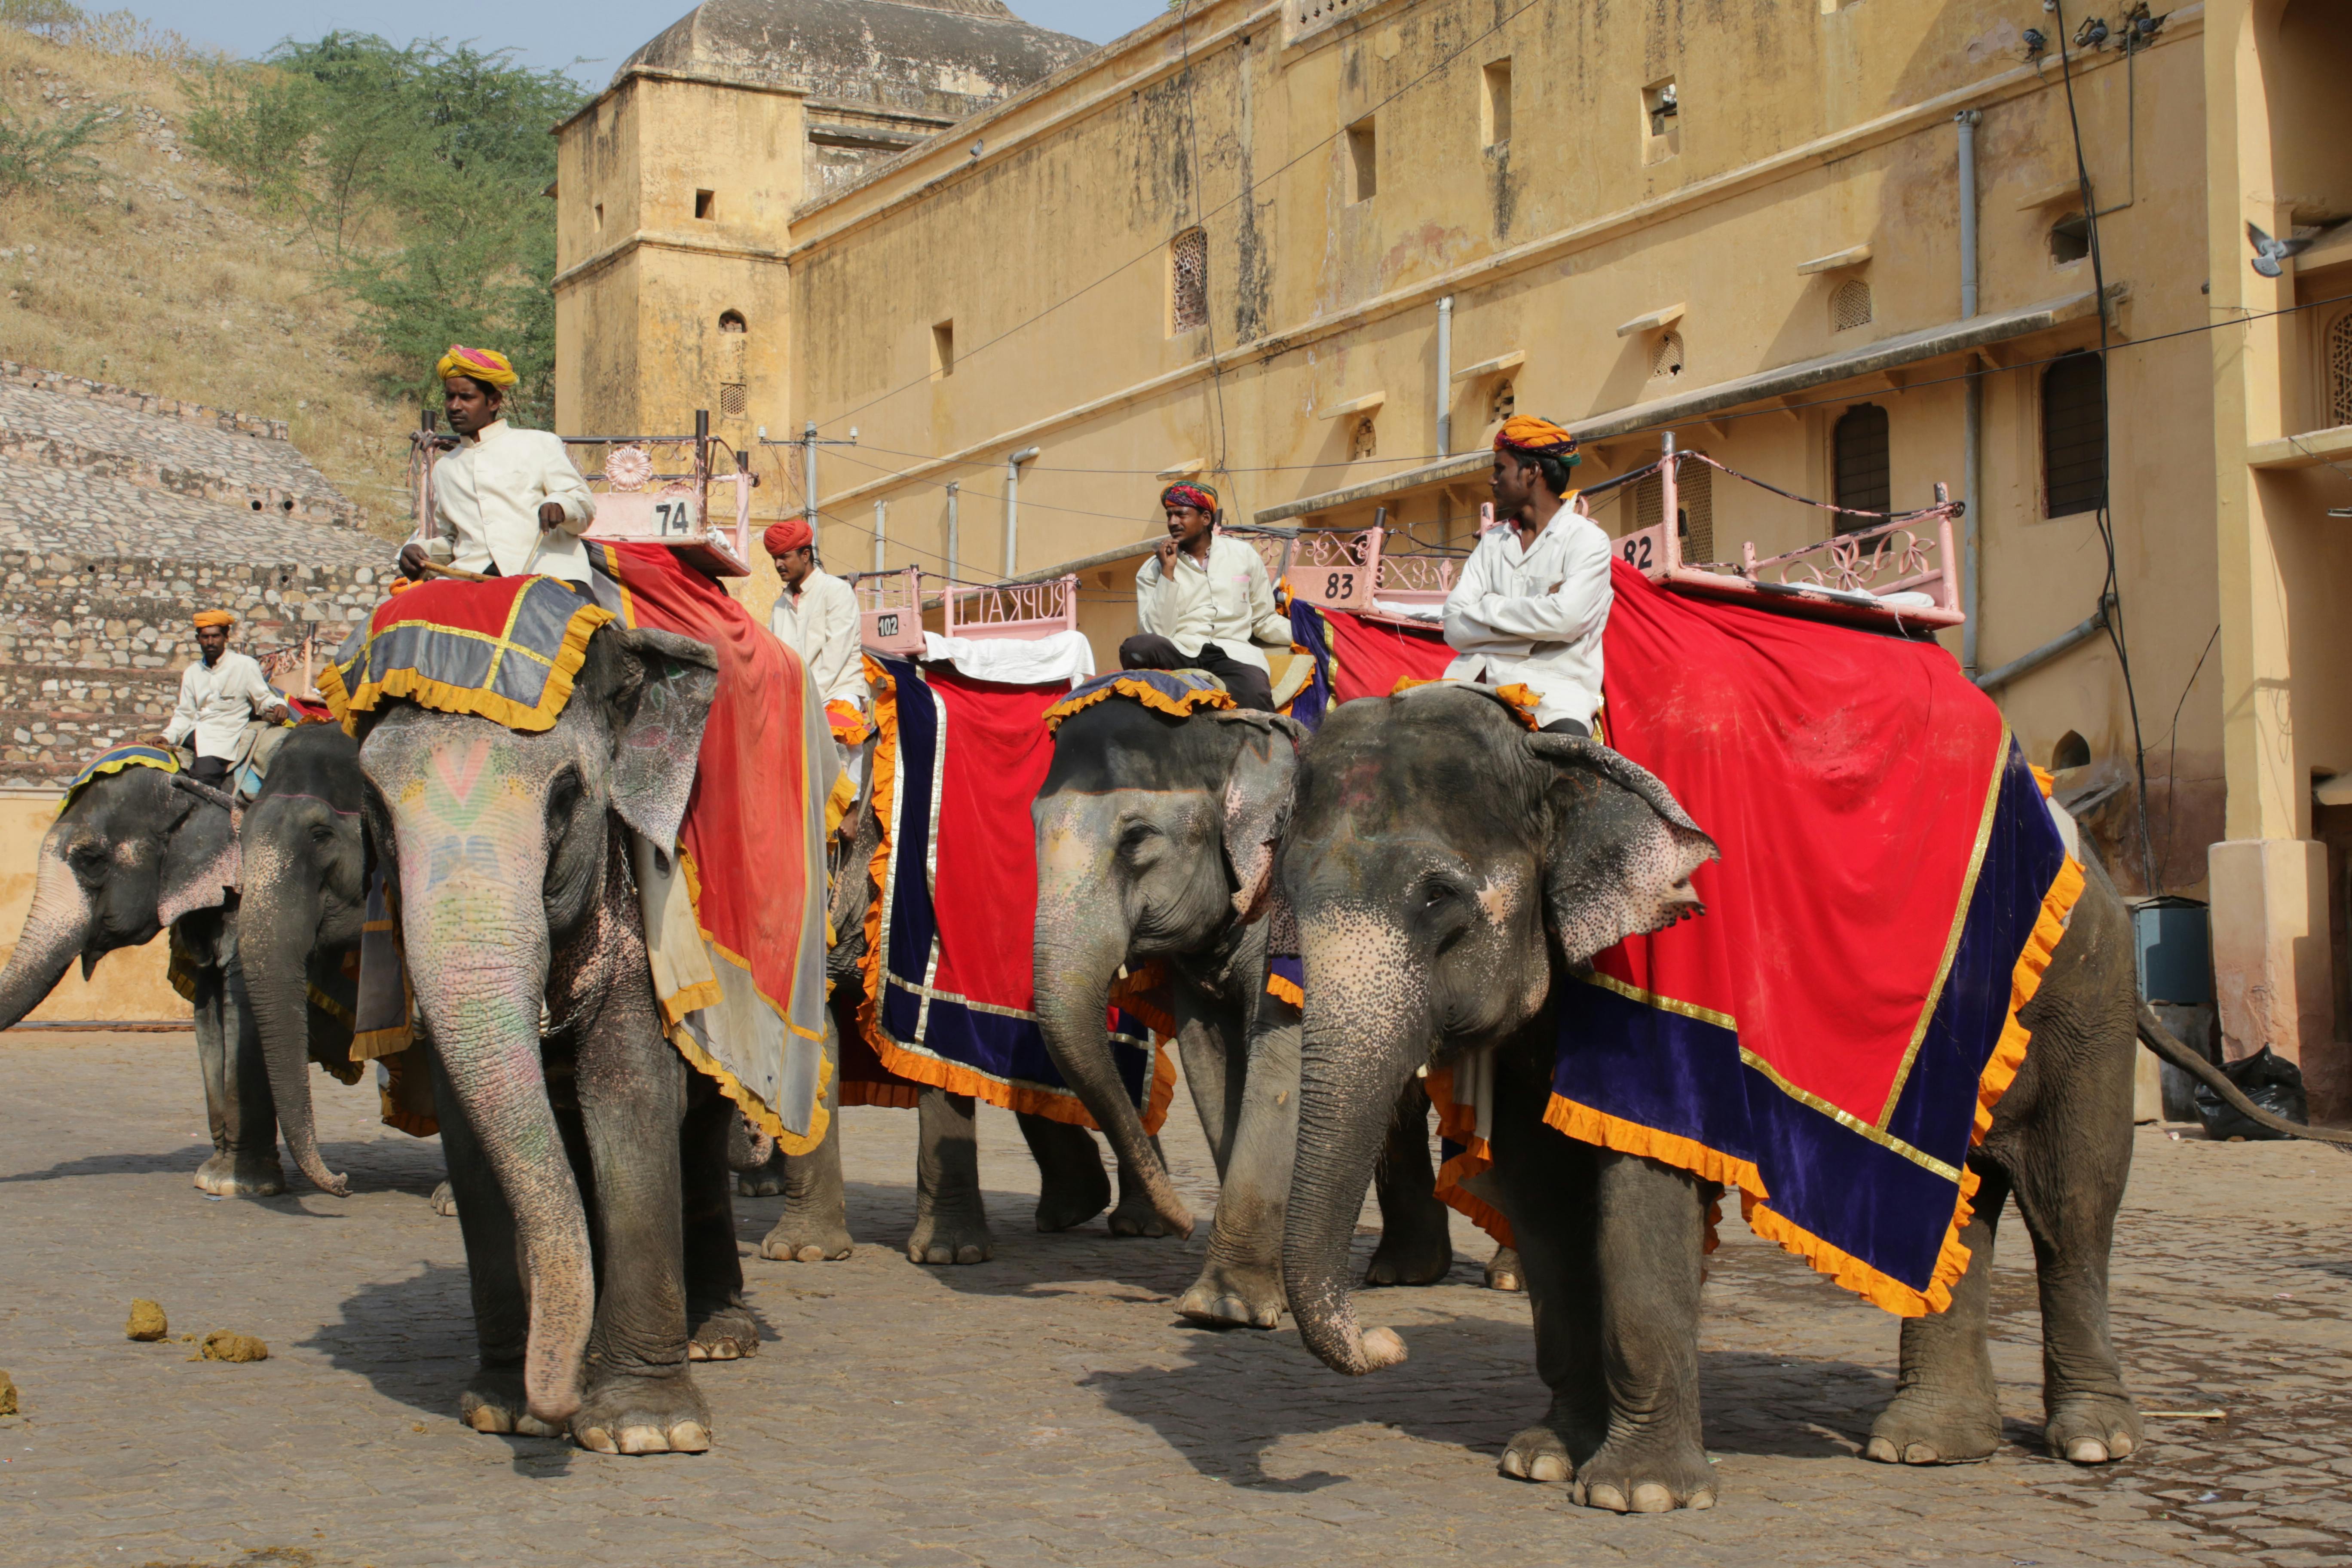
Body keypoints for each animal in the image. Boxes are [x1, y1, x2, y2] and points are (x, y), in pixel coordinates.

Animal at [351, 619, 748, 1453]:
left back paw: (717, 1337)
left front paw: (644, 1427)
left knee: (700, 1131)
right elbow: (470, 1134)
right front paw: (506, 1409)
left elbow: (631, 1093)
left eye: (566, 797)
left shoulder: (640, 924)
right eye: (373, 805)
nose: (560, 1406)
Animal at [1271, 684, 2269, 1513]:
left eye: (1440, 900)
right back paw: (1927, 1446)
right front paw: (1543, 1459)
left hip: (2089, 994)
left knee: (2072, 1207)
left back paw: (2093, 1442)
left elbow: (1639, 1189)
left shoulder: (1667, 976)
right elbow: (1544, 1196)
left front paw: (1637, 1496)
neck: (1550, 747)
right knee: (1964, 1210)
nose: (1386, 1341)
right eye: (1286, 890)